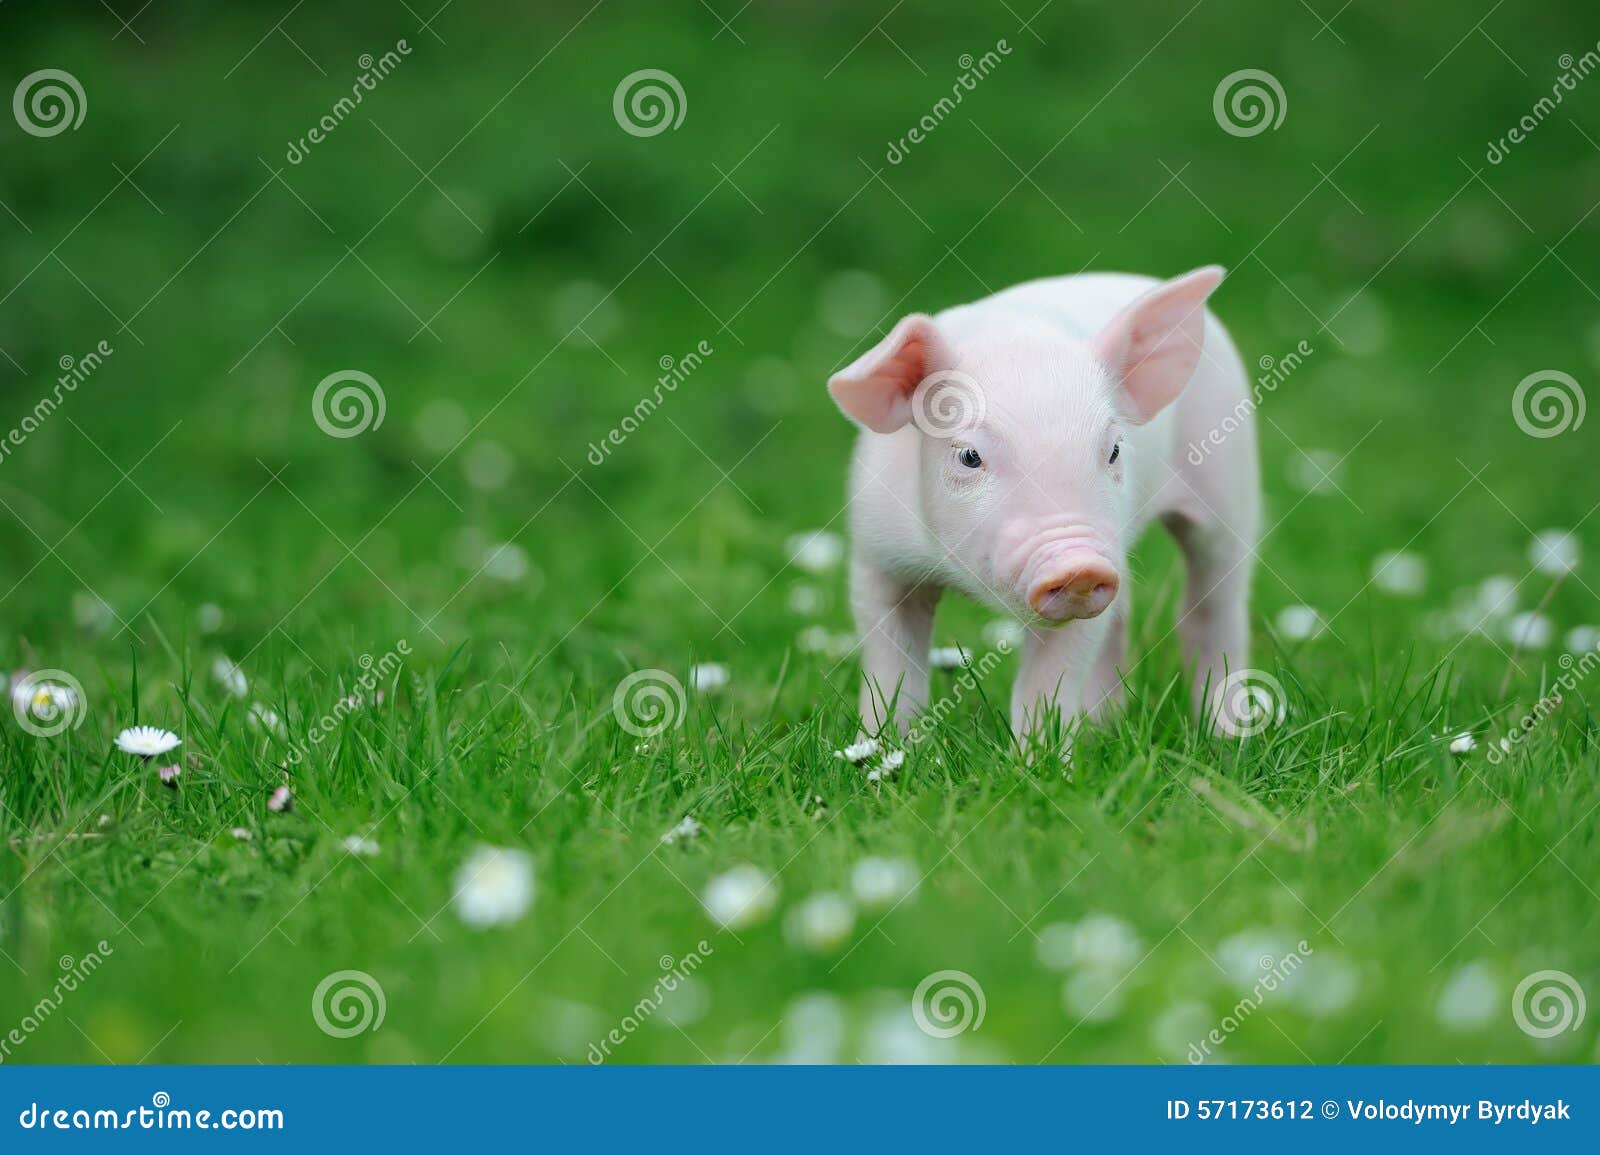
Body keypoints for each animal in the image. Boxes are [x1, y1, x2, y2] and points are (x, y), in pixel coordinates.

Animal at [828, 266, 1260, 742]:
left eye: (1114, 451)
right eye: (969, 456)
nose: (1079, 566)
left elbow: (1048, 680)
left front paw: (1038, 759)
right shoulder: (876, 557)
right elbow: (889, 665)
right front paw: (881, 749)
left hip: (1230, 481)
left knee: (1214, 608)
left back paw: (1226, 736)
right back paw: (1103, 726)